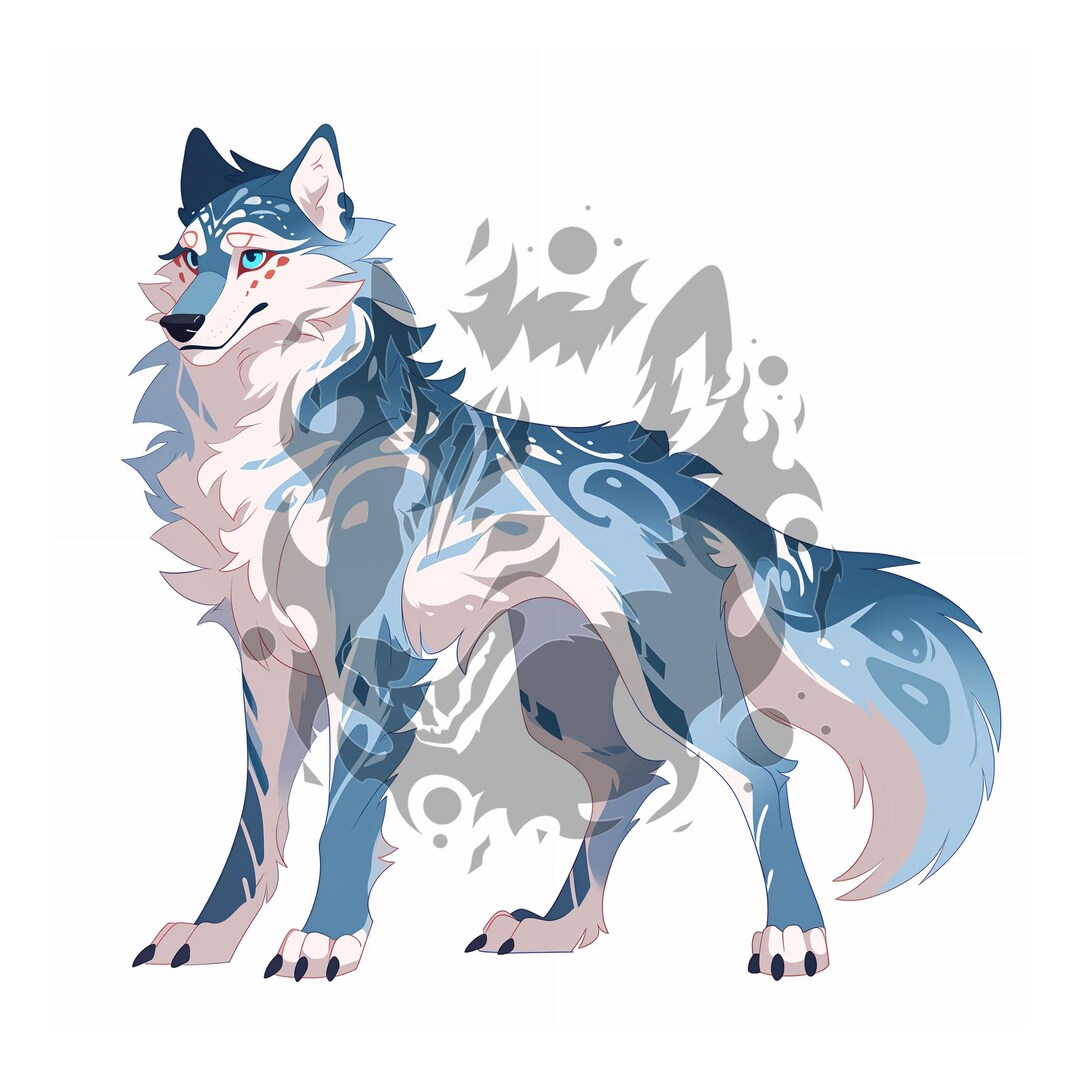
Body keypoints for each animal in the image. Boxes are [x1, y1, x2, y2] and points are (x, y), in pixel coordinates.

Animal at [129, 125, 1001, 982]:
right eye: (188, 258)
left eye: (251, 258)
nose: (181, 327)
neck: (264, 433)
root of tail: (688, 482)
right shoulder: (268, 662)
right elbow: (256, 825)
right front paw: (213, 936)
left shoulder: (379, 663)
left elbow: (341, 819)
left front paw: (323, 941)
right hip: (557, 699)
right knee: (632, 776)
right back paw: (559, 929)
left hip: (674, 689)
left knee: (763, 774)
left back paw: (792, 935)